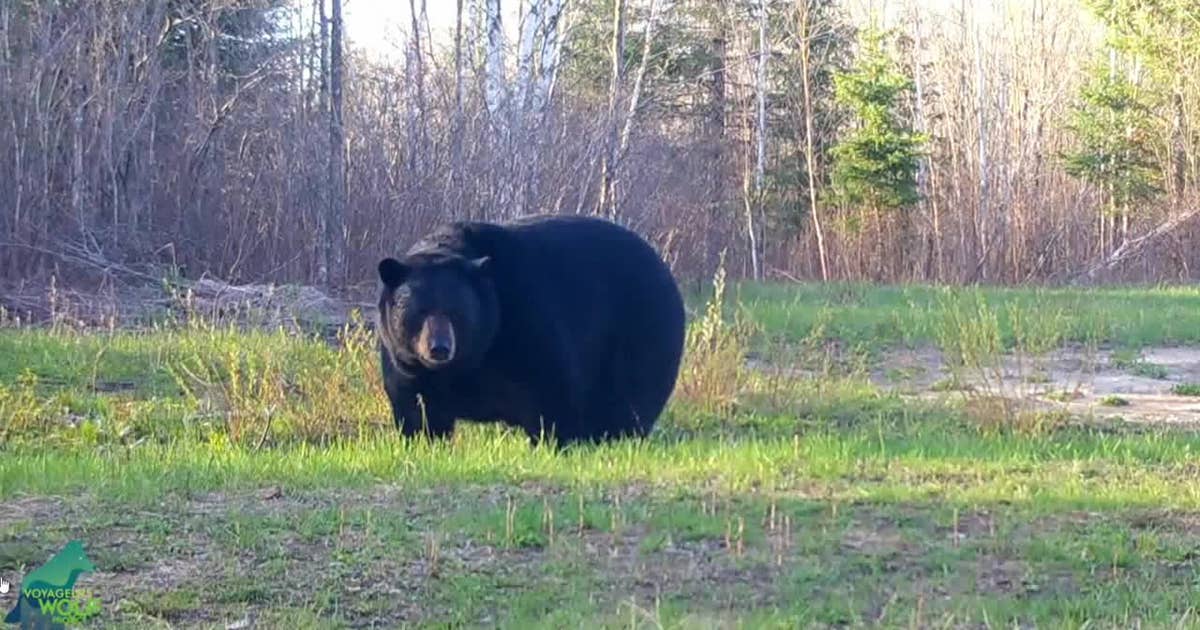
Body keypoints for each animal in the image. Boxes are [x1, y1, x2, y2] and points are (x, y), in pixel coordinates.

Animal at [375, 214, 686, 447]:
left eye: (455, 312)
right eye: (420, 311)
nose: (439, 348)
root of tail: (663, 267)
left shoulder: (525, 315)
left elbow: (550, 383)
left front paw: (555, 440)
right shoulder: (408, 363)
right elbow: (417, 408)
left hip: (641, 327)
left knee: (631, 390)